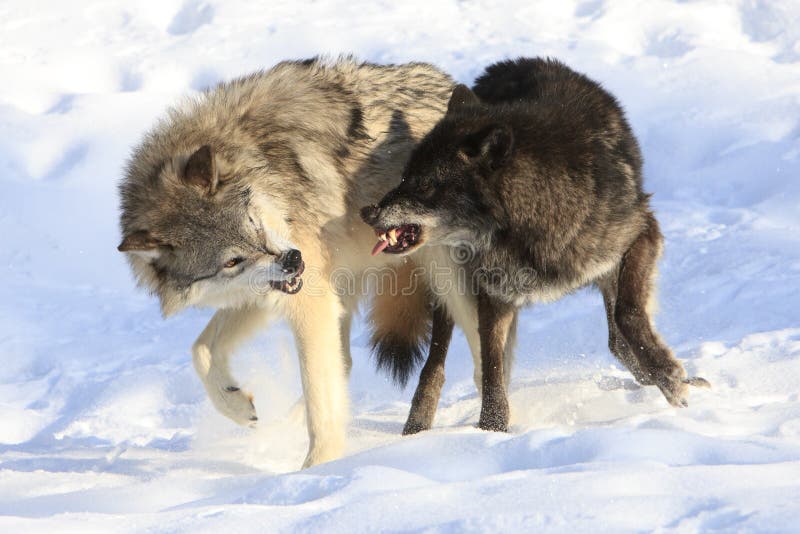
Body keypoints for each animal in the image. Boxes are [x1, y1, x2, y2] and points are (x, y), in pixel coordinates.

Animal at [117, 57, 459, 467]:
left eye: (252, 222)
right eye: (231, 261)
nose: (293, 260)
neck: (256, 161)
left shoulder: (308, 300)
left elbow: (318, 400)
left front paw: (317, 469)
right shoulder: (267, 293)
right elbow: (200, 350)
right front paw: (237, 405)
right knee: (343, 361)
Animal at [361, 57, 710, 433]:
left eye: (424, 184)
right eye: (403, 176)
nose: (368, 212)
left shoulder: (642, 232)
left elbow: (628, 314)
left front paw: (670, 378)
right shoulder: (494, 291)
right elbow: (492, 368)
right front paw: (492, 430)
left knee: (617, 336)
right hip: (451, 286)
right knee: (436, 361)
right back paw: (416, 427)